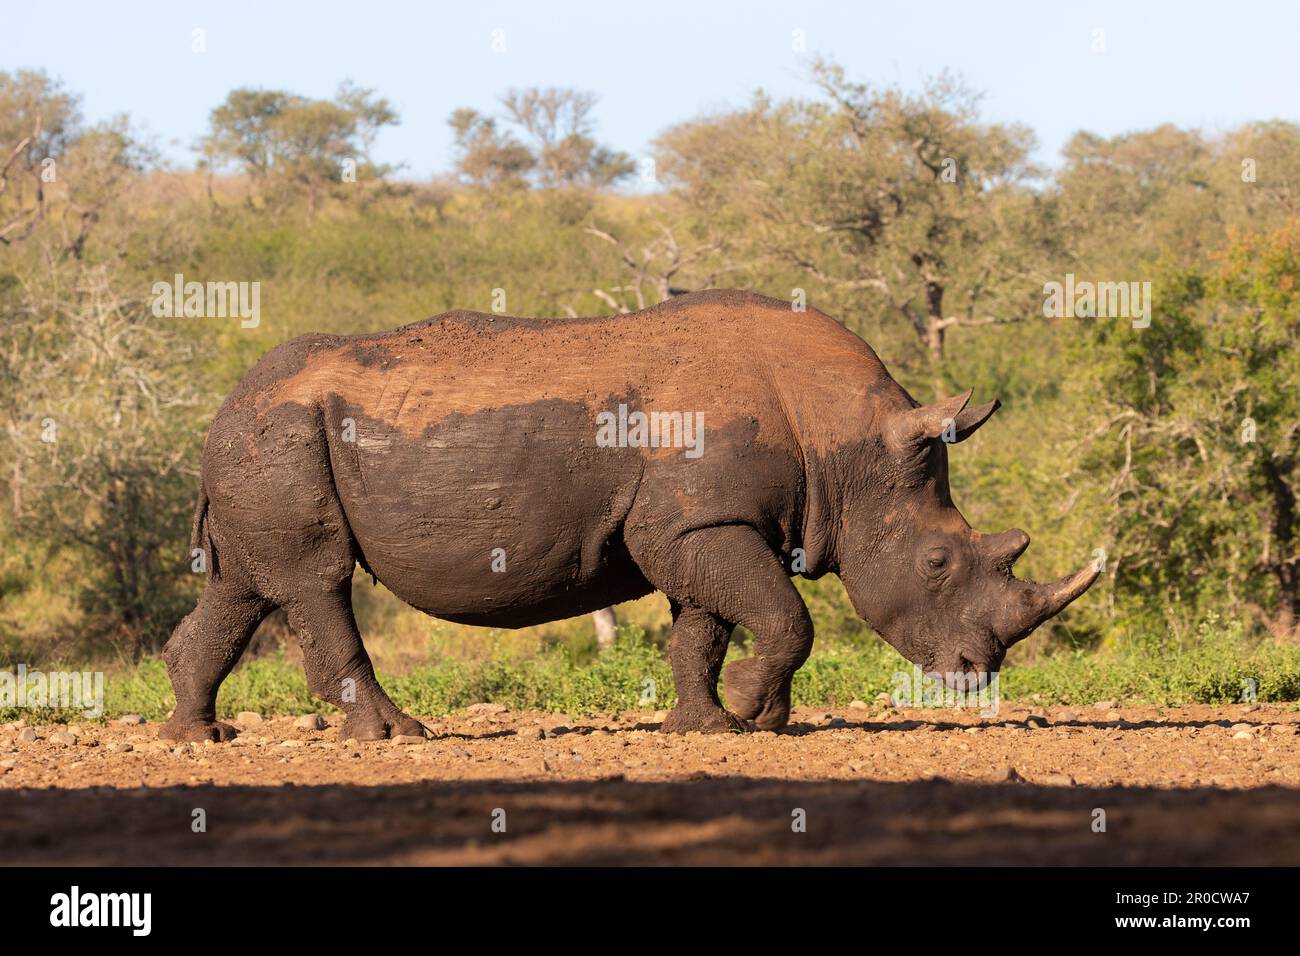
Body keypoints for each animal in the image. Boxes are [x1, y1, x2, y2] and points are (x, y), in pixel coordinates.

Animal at [160, 290, 1099, 741]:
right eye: (938, 564)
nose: (976, 672)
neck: (844, 439)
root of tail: (224, 403)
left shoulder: (700, 523)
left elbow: (704, 626)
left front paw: (711, 724)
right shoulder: (693, 523)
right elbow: (783, 616)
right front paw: (754, 711)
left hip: (262, 441)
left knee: (248, 585)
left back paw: (199, 738)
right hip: (281, 435)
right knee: (315, 579)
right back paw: (396, 737)